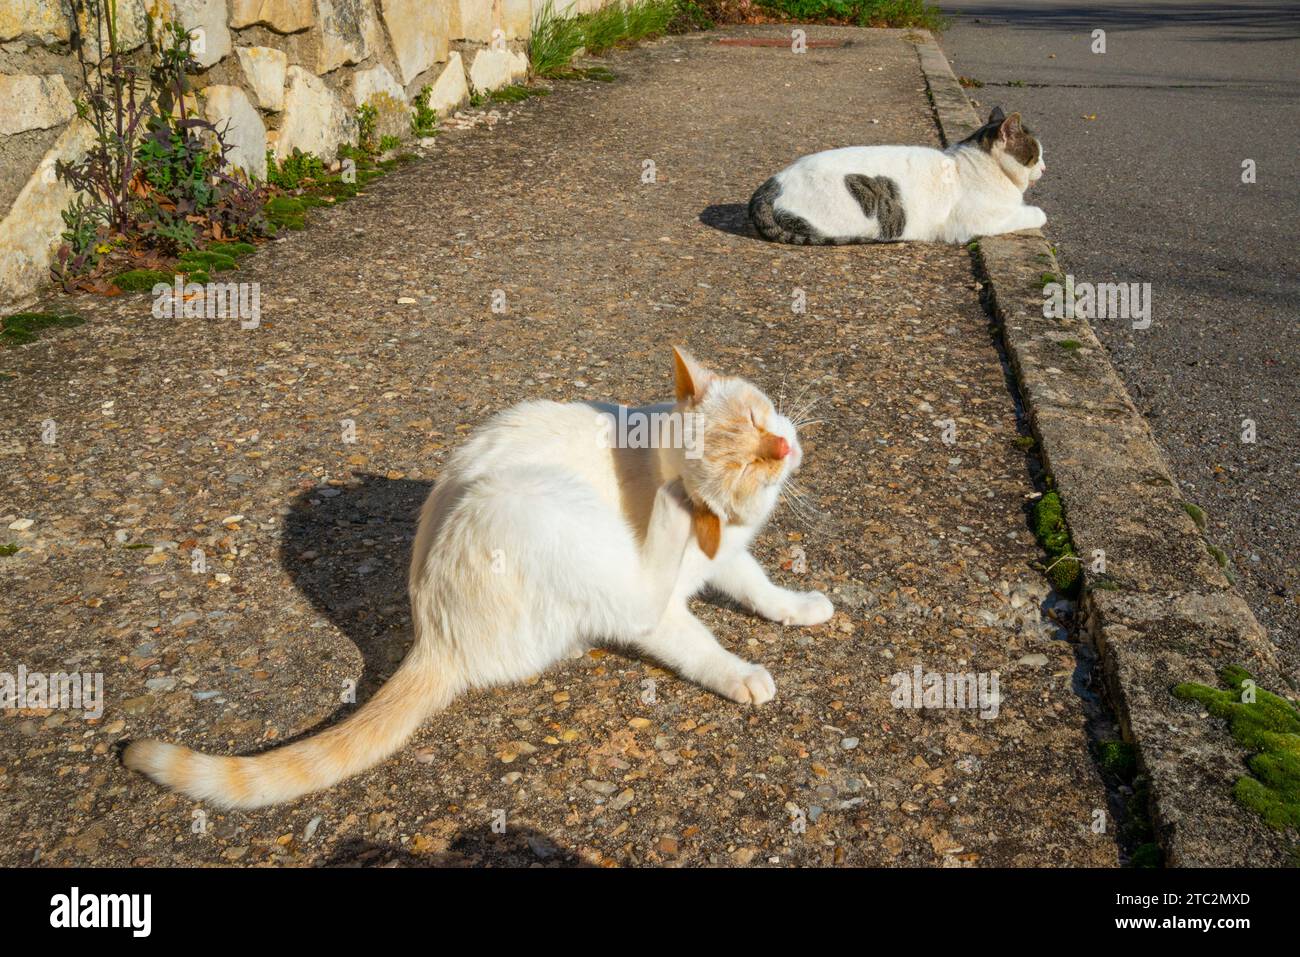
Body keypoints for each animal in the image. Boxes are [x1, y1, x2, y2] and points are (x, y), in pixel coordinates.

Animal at [124, 348, 832, 806]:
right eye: (749, 458)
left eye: (758, 422)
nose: (782, 447)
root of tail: (432, 638)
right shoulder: (665, 613)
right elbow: (697, 643)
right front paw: (739, 673)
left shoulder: (731, 559)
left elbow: (760, 587)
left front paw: (797, 607)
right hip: (525, 501)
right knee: (635, 594)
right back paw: (667, 514)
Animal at [754, 107, 1045, 247]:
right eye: (1036, 154)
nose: (1044, 168)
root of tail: (773, 183)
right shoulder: (979, 222)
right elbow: (1034, 213)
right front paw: (1037, 213)